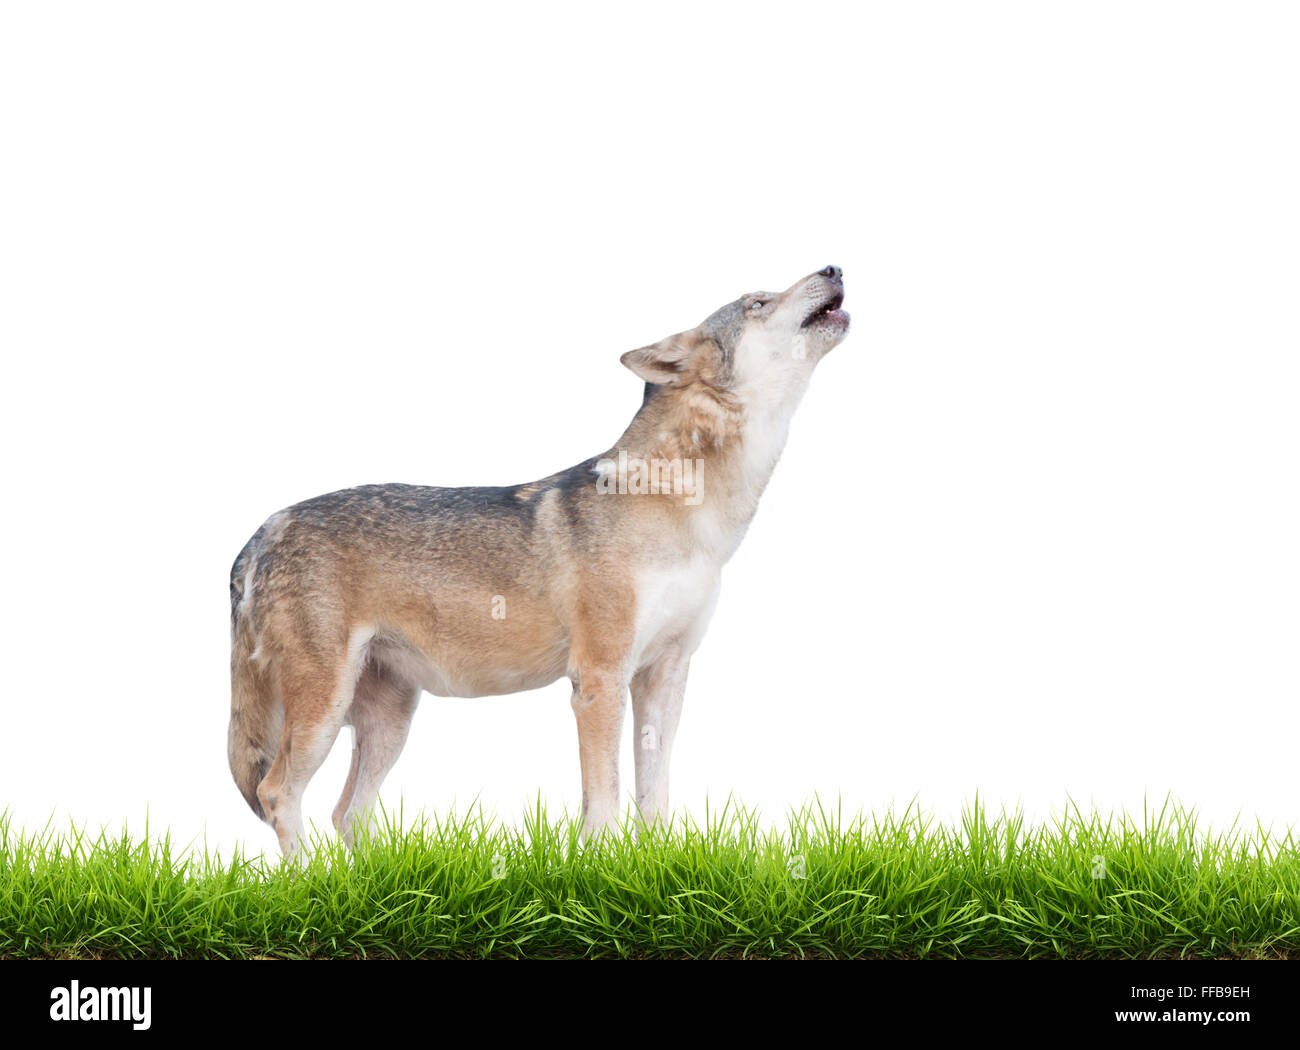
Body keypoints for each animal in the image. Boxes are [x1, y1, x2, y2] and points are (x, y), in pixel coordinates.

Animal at [229, 266, 850, 854]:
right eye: (757, 303)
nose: (835, 268)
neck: (690, 511)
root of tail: (262, 530)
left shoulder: (665, 675)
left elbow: (655, 800)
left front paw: (661, 871)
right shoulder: (599, 678)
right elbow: (605, 802)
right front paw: (602, 873)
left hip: (389, 719)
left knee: (346, 814)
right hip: (324, 711)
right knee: (278, 793)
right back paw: (307, 884)